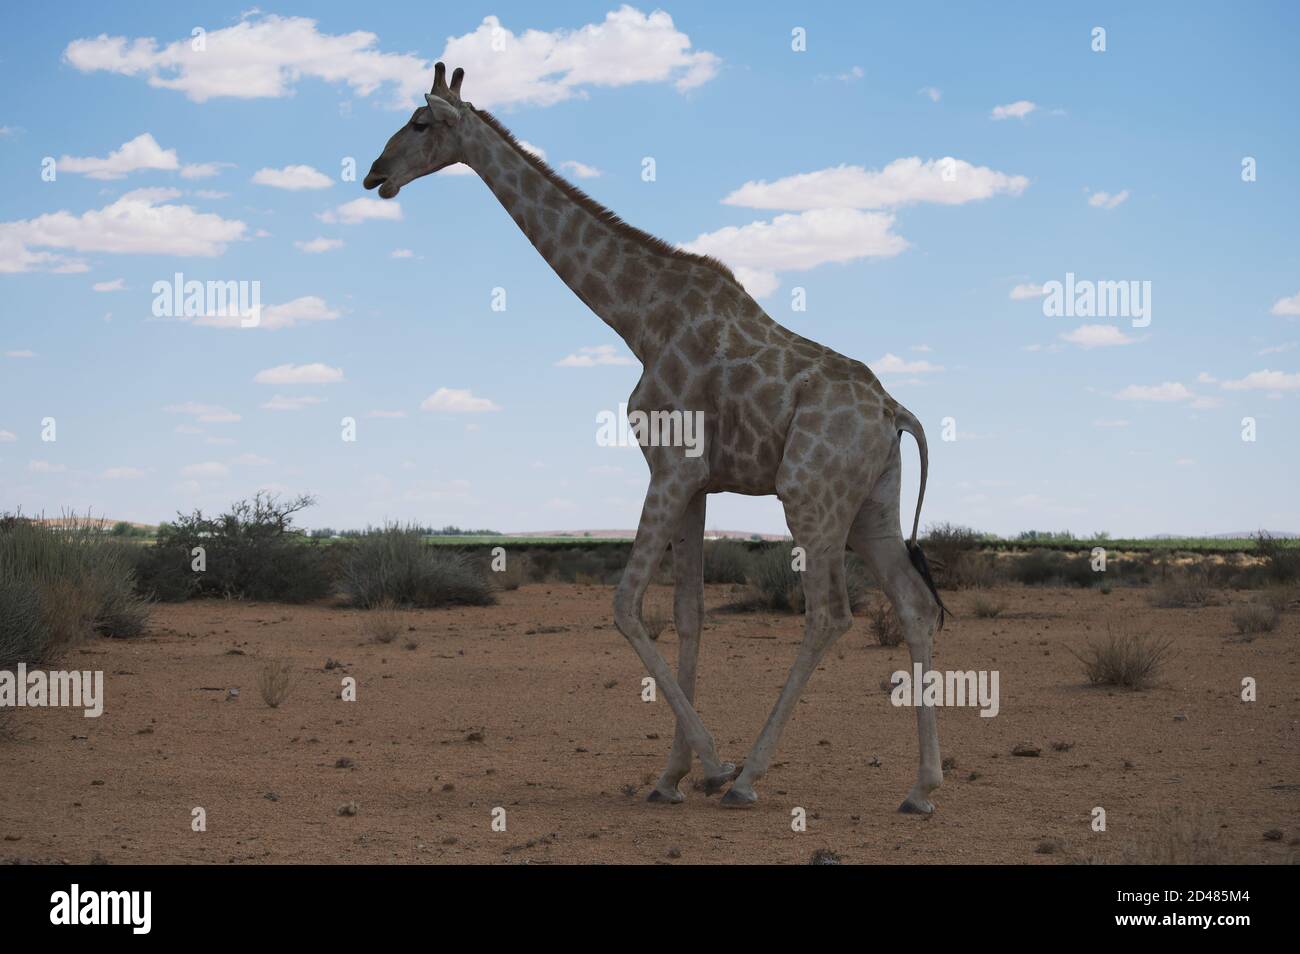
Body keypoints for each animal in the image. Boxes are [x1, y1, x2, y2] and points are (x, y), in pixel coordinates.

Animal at [365, 64, 948, 813]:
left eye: (420, 122)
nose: (375, 174)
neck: (636, 316)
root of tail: (896, 413)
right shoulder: (697, 481)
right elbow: (690, 611)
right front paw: (673, 775)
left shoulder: (670, 467)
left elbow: (625, 603)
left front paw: (713, 765)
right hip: (871, 506)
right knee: (914, 605)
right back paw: (920, 787)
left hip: (809, 497)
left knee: (828, 616)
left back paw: (751, 778)